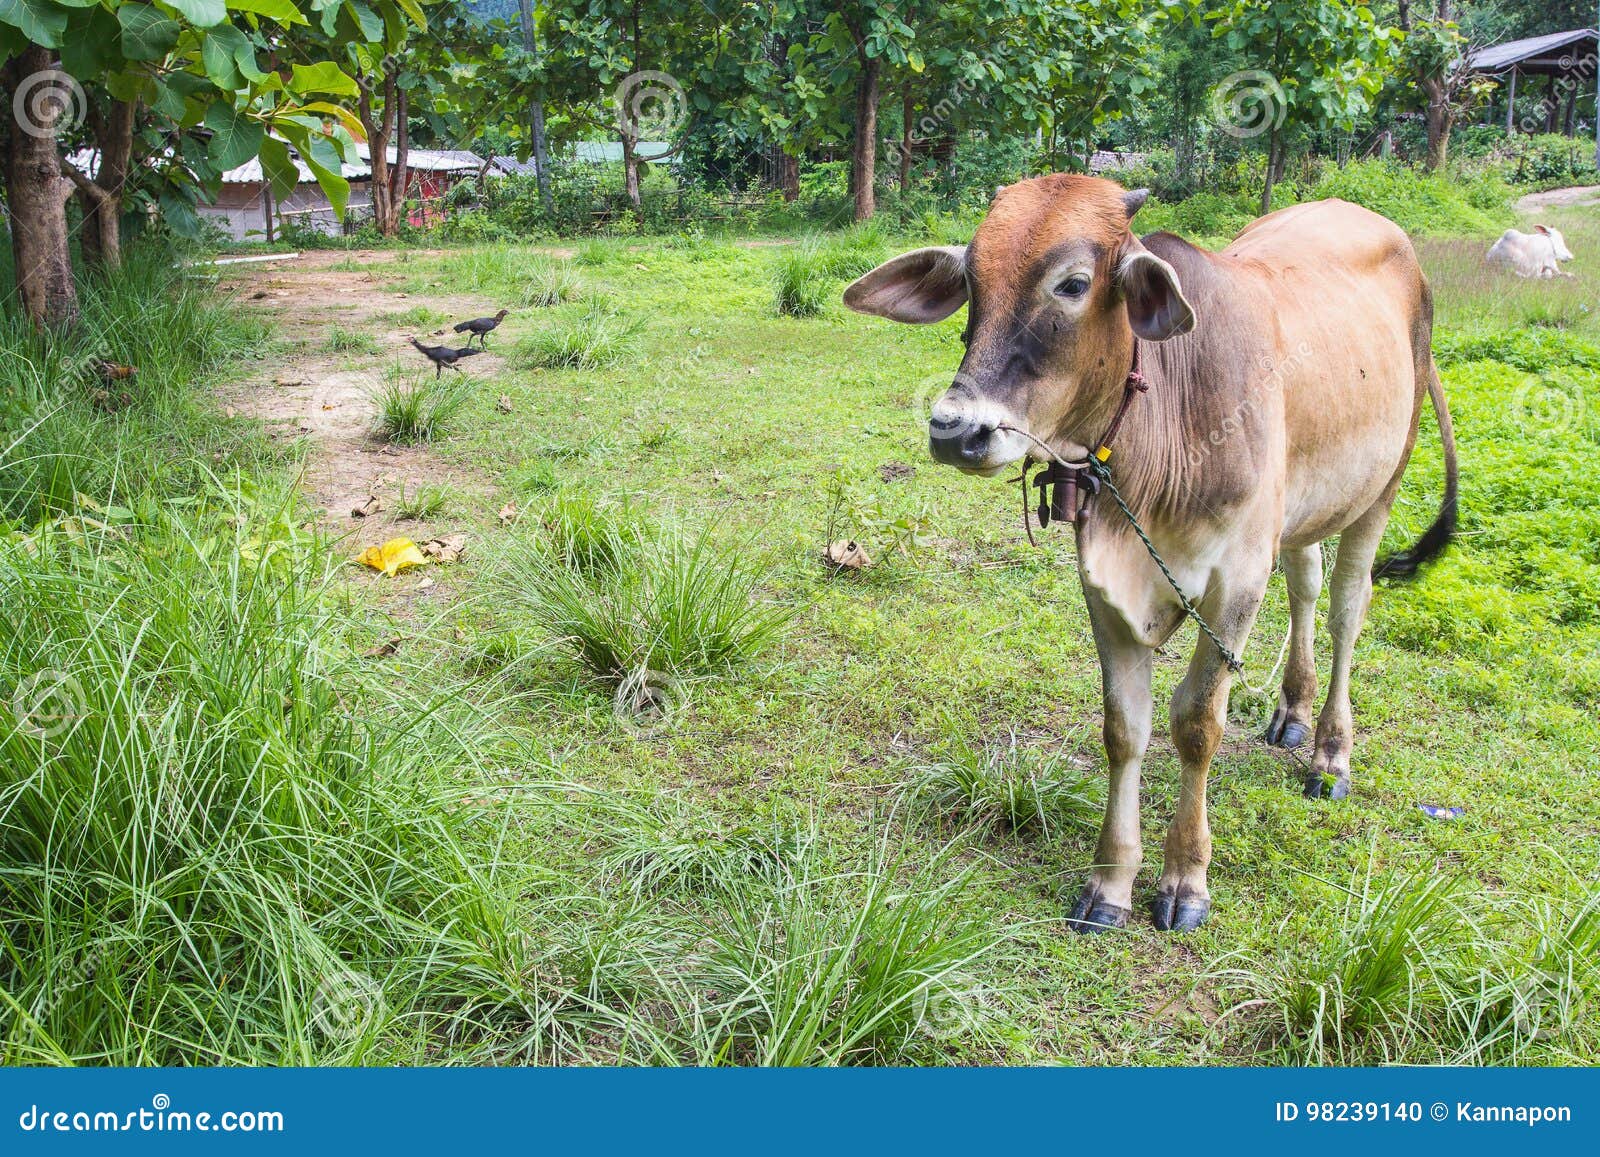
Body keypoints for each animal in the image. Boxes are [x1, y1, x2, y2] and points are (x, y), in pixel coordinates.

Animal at [844, 175, 1458, 933]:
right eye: (970, 280)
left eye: (1073, 284)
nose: (957, 431)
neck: (1167, 422)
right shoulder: (1105, 588)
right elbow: (1123, 728)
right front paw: (1110, 881)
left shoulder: (1235, 584)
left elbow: (1195, 725)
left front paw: (1185, 877)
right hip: (1307, 502)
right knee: (1306, 584)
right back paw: (1292, 712)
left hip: (1383, 484)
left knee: (1347, 608)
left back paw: (1330, 755)